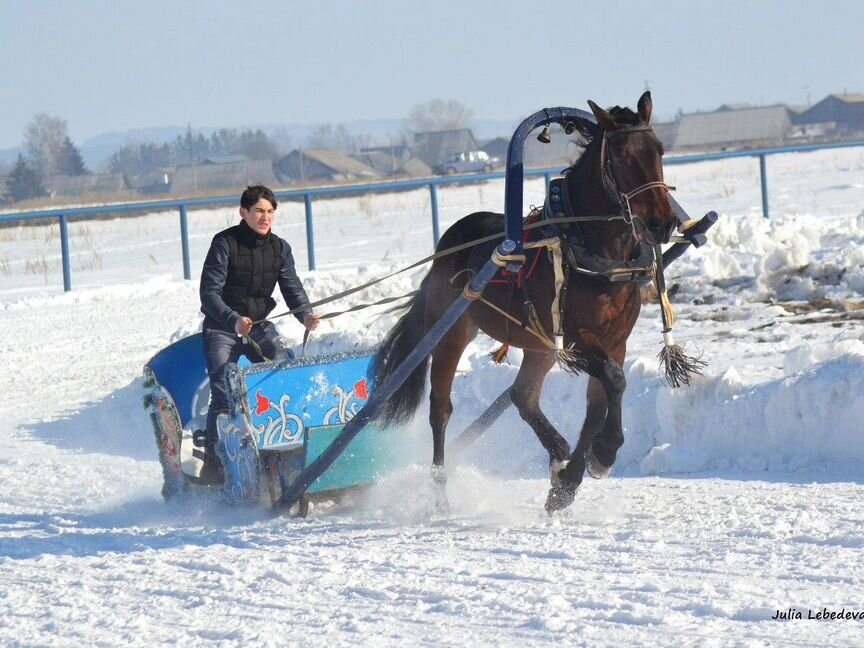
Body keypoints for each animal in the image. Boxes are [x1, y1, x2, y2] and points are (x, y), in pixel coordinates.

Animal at [372, 91, 680, 513]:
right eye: (619, 156)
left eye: (659, 149)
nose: (661, 223)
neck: (590, 248)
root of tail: (447, 244)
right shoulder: (578, 338)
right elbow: (614, 381)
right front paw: (602, 452)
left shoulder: (614, 340)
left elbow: (600, 401)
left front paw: (570, 480)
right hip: (452, 333)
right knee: (441, 409)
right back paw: (440, 493)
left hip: (538, 344)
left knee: (523, 396)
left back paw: (558, 452)